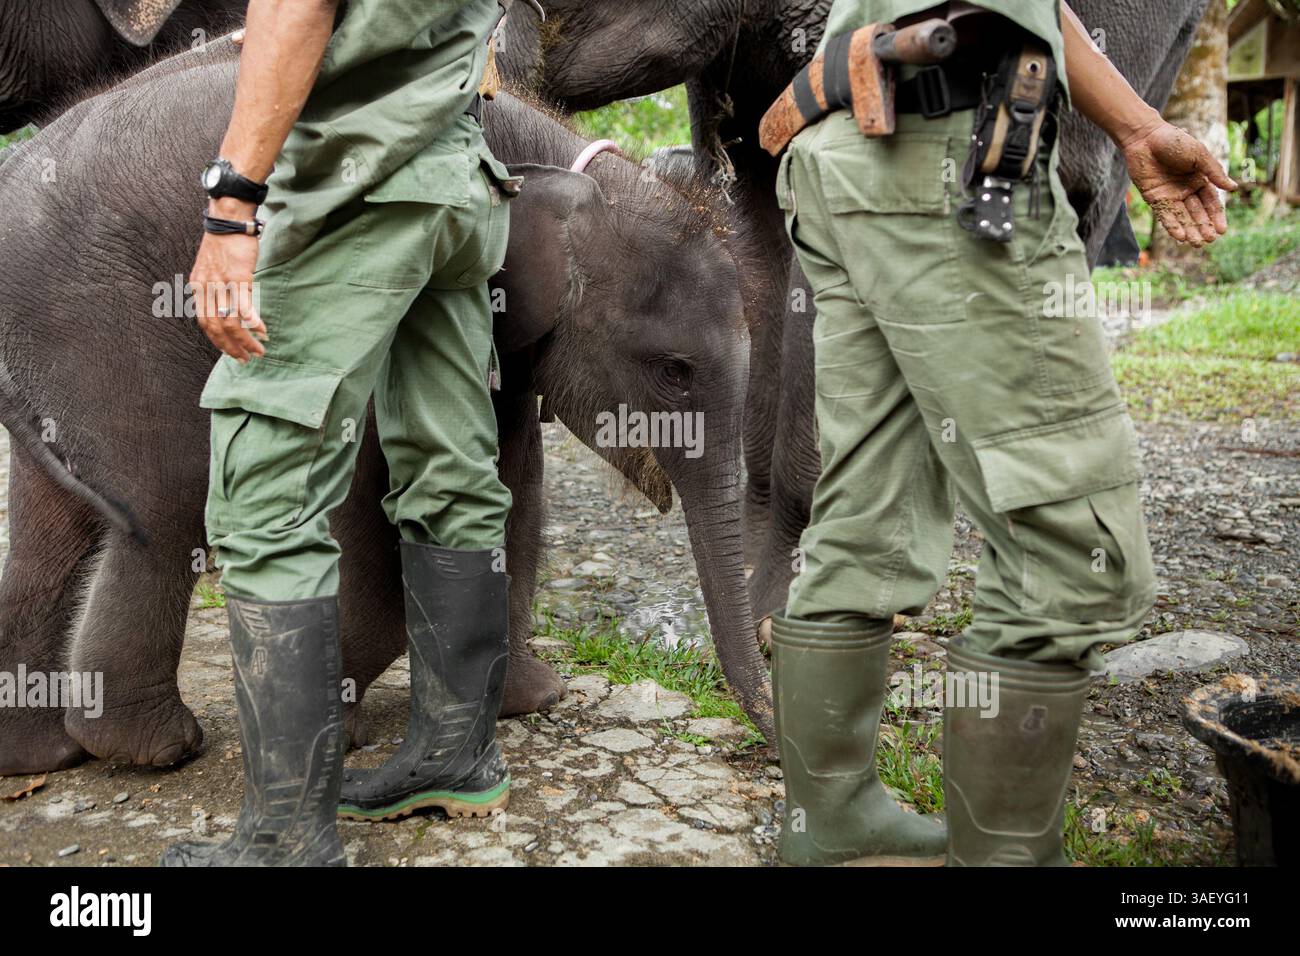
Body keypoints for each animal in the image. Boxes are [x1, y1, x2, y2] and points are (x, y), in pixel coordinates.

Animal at [0, 38, 773, 776]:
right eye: (673, 373)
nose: (767, 737)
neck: (561, 165)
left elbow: (515, 484)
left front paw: (528, 699)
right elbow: (370, 491)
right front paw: (333, 722)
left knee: (55, 524)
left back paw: (46, 755)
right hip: (104, 324)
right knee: (165, 503)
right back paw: (152, 749)